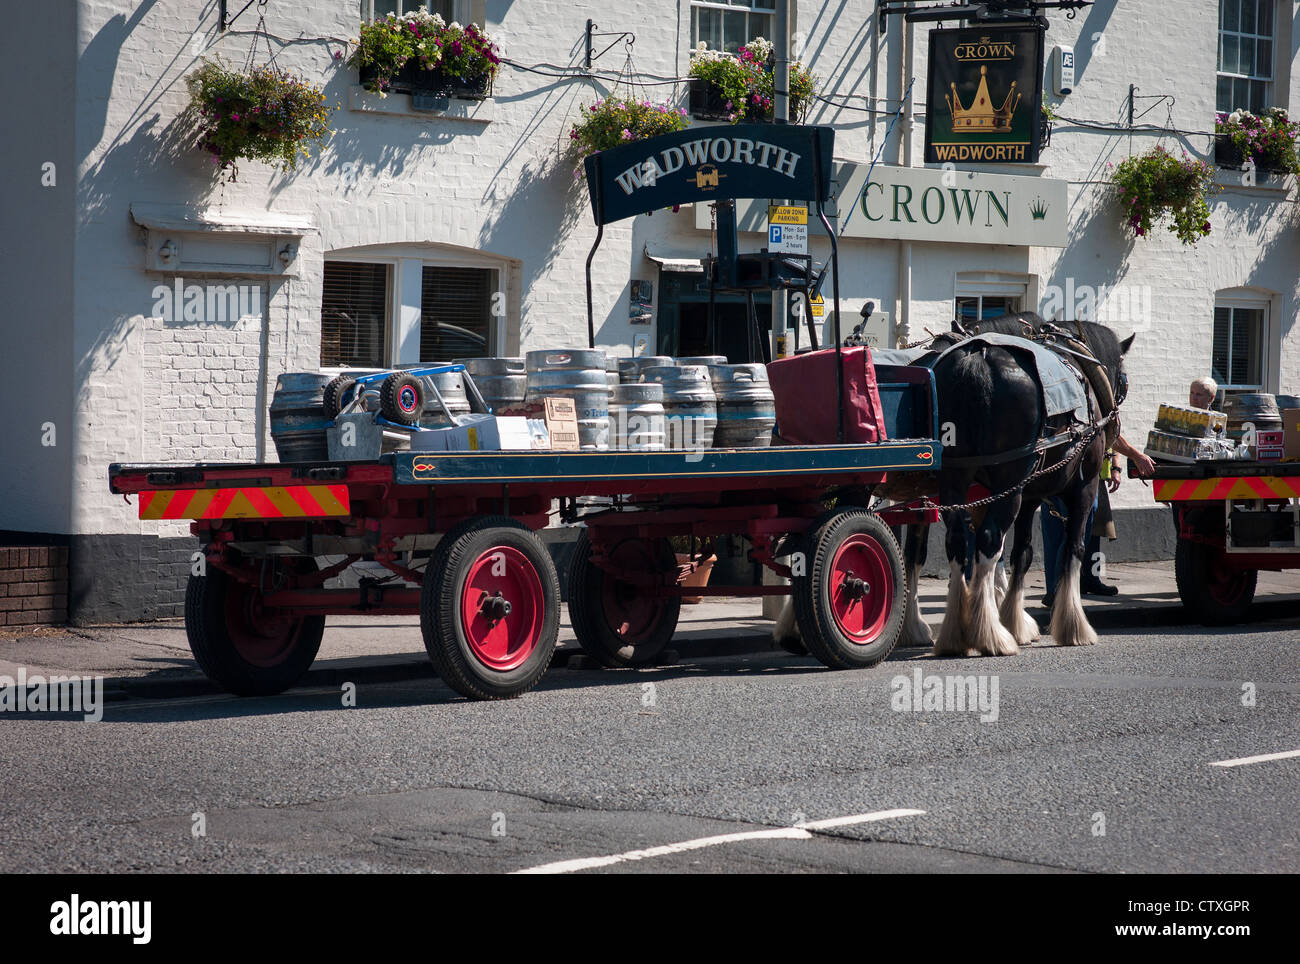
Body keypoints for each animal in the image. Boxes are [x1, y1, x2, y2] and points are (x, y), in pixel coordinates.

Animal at [775, 312, 1133, 658]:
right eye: (1124, 380)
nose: (1116, 432)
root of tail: (978, 360)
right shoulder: (1080, 488)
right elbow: (1071, 548)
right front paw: (1070, 627)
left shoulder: (1012, 494)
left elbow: (1013, 553)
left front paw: (1006, 620)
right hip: (1005, 480)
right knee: (987, 542)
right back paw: (989, 636)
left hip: (933, 480)